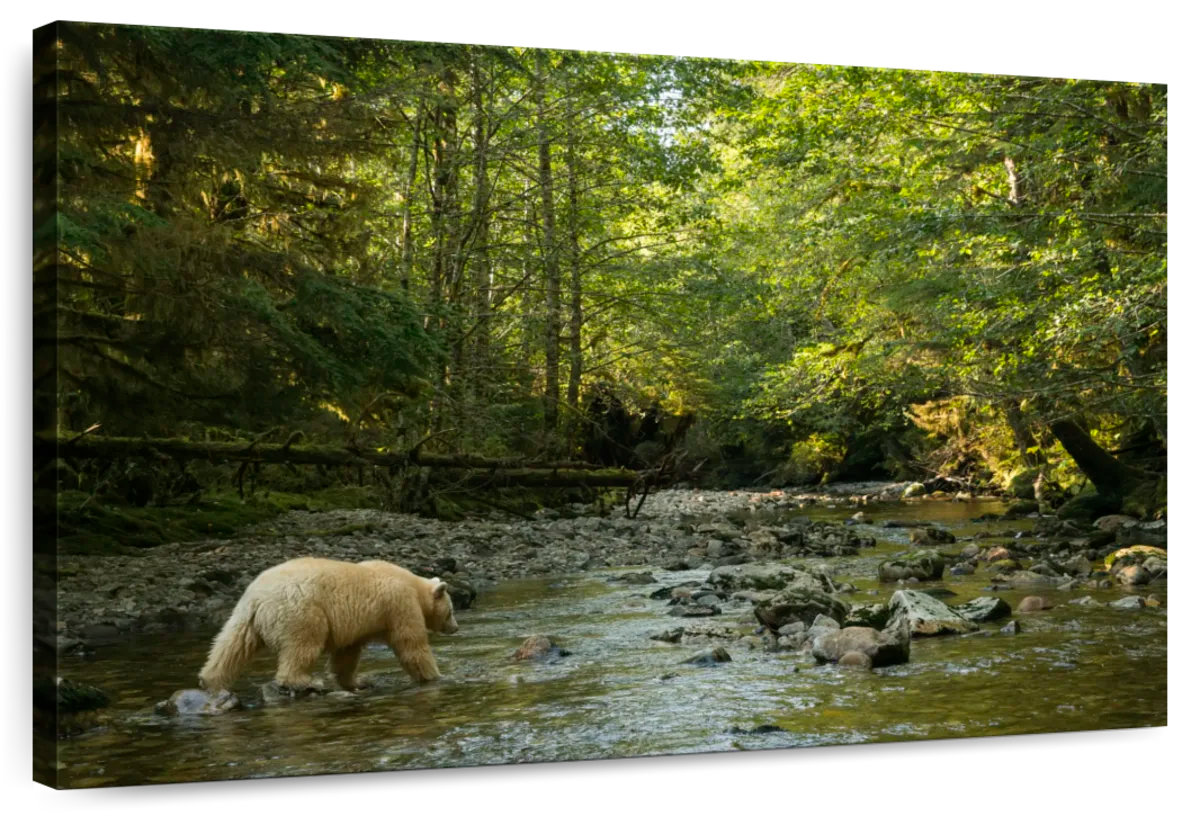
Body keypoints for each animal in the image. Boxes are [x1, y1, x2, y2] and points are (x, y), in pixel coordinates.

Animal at [198, 557, 458, 693]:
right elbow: (411, 645)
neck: (413, 585)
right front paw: (435, 676)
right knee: (303, 645)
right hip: (301, 612)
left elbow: (347, 654)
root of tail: (257, 598)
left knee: (230, 646)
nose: (456, 628)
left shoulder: (358, 625)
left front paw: (357, 681)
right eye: (451, 610)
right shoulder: (399, 605)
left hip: (244, 617)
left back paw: (210, 680)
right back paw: (306, 681)